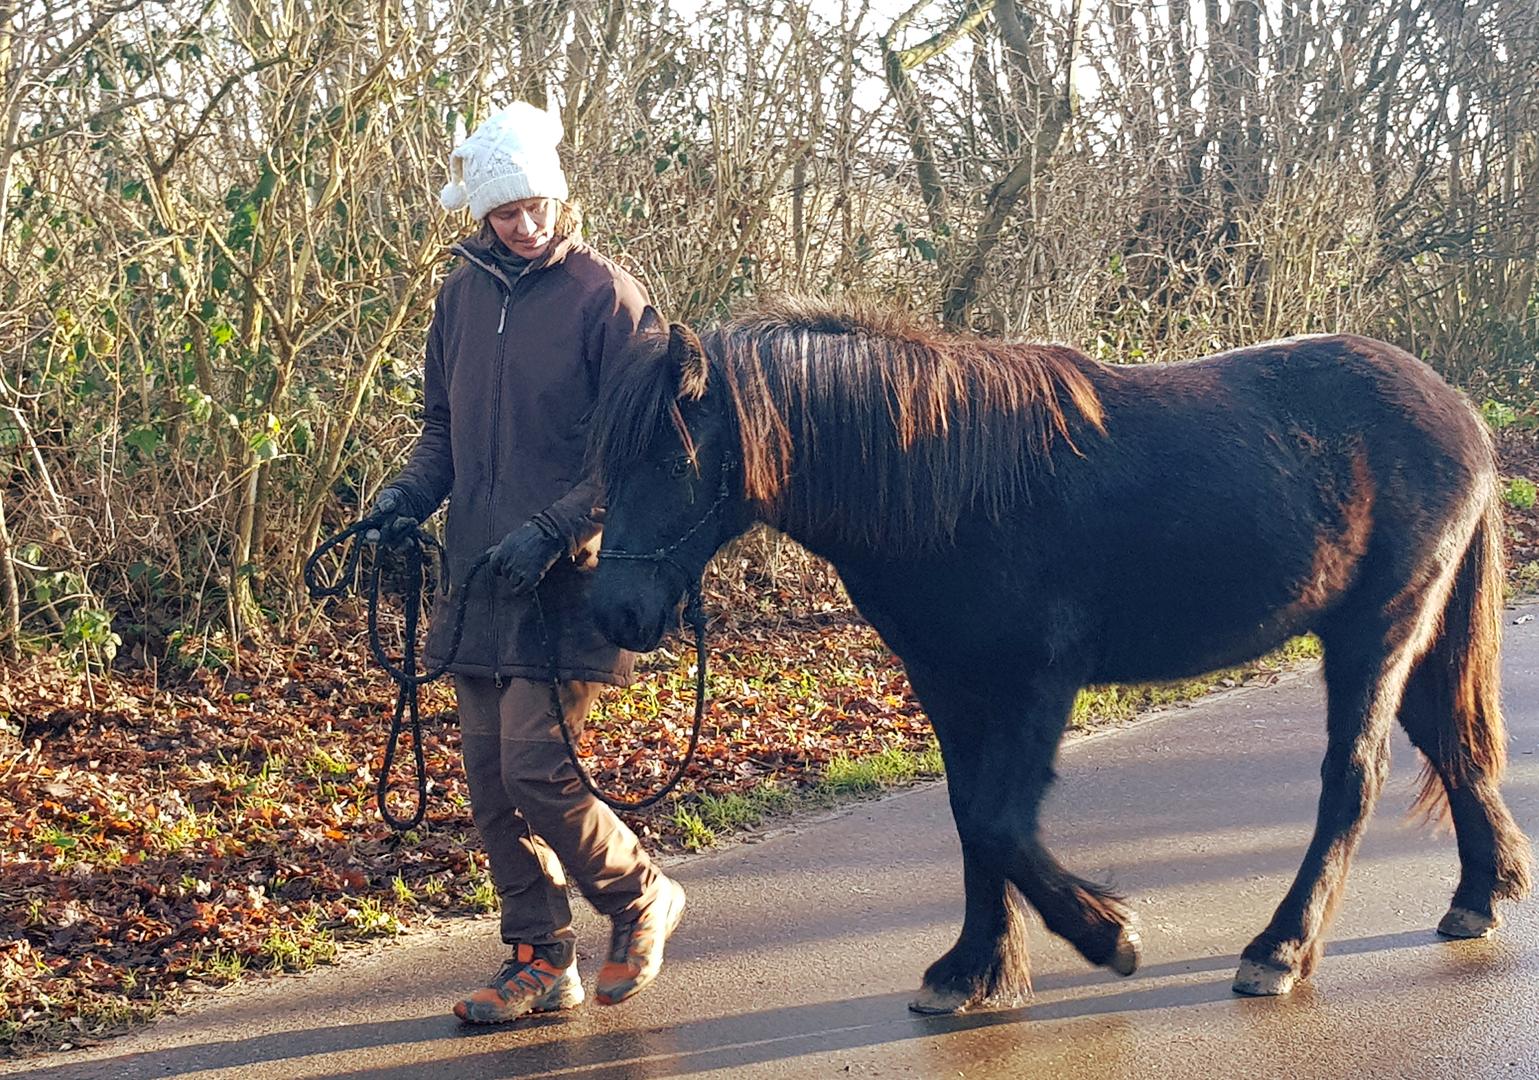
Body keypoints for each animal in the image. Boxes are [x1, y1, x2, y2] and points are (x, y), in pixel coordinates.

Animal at [587, 299, 1533, 1013]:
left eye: (673, 458)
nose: (616, 610)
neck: (949, 483)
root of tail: (1452, 405)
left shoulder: (1035, 682)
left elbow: (1001, 822)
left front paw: (1104, 935)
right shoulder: (946, 684)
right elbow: (969, 817)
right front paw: (973, 969)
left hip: (1375, 631)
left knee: (1355, 776)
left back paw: (1280, 949)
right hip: (1403, 638)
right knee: (1449, 744)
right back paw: (1476, 896)